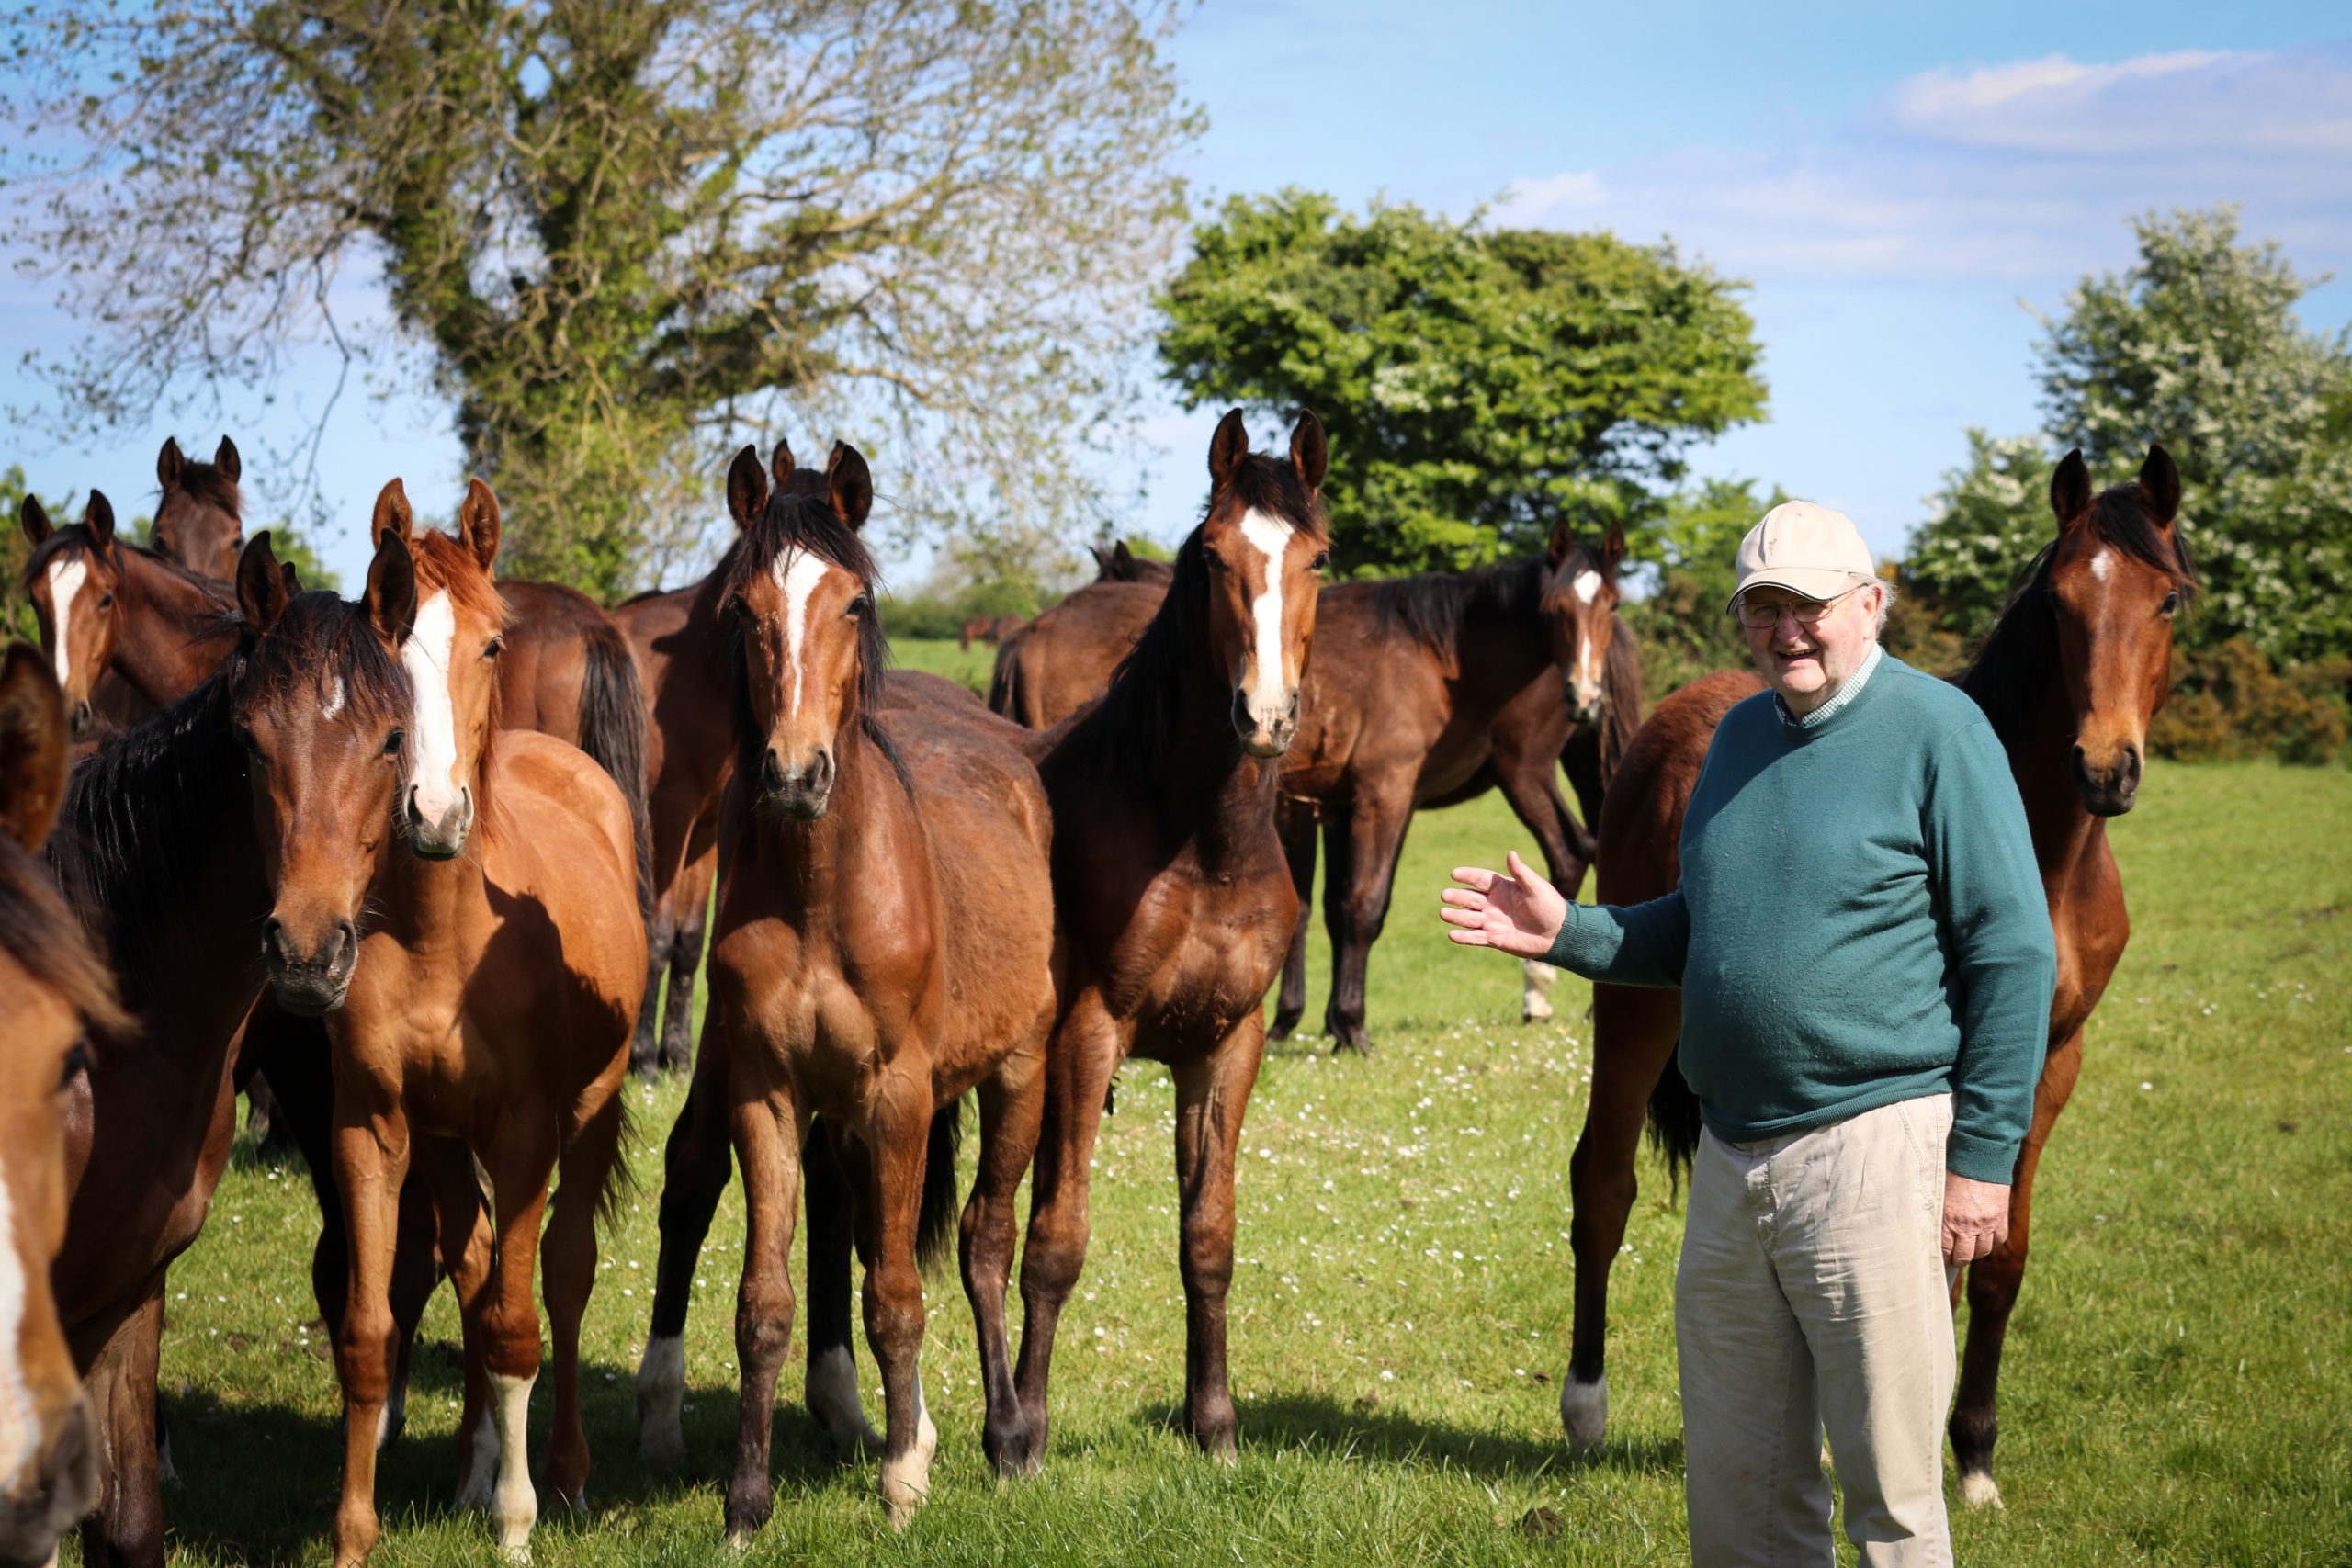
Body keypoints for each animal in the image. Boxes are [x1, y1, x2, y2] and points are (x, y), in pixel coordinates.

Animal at [228, 482, 645, 1565]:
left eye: (494, 643)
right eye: (387, 653)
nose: (435, 812)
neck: (441, 943)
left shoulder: (527, 1130)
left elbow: (515, 1323)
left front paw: (517, 1523)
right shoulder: (372, 1129)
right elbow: (374, 1331)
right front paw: (355, 1534)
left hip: (588, 1108)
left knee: (564, 1274)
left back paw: (564, 1474)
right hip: (448, 1144)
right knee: (470, 1264)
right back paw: (468, 1468)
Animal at [638, 441, 1058, 1541]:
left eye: (857, 601)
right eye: (743, 607)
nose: (793, 774)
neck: (824, 893)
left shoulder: (899, 1093)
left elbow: (901, 1294)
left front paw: (904, 1482)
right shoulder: (768, 1091)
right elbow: (764, 1302)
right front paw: (746, 1503)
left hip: (1018, 1070)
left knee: (983, 1239)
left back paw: (1006, 1437)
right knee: (735, 1191)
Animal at [999, 408, 1327, 1469]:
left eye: (1317, 557)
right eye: (1215, 556)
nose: (1265, 714)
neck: (1204, 846)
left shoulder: (1224, 1046)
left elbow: (1207, 1238)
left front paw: (1213, 1422)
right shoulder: (1087, 1039)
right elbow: (1055, 1242)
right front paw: (1027, 1434)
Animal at [1269, 524, 1638, 1051]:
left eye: (1613, 603)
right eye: (1554, 609)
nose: (1584, 696)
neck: (1436, 656)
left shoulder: (1367, 798)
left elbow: (1353, 905)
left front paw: (1339, 1025)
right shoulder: (1344, 803)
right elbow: (1329, 908)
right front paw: (1324, 1025)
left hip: (1524, 770)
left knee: (1571, 850)